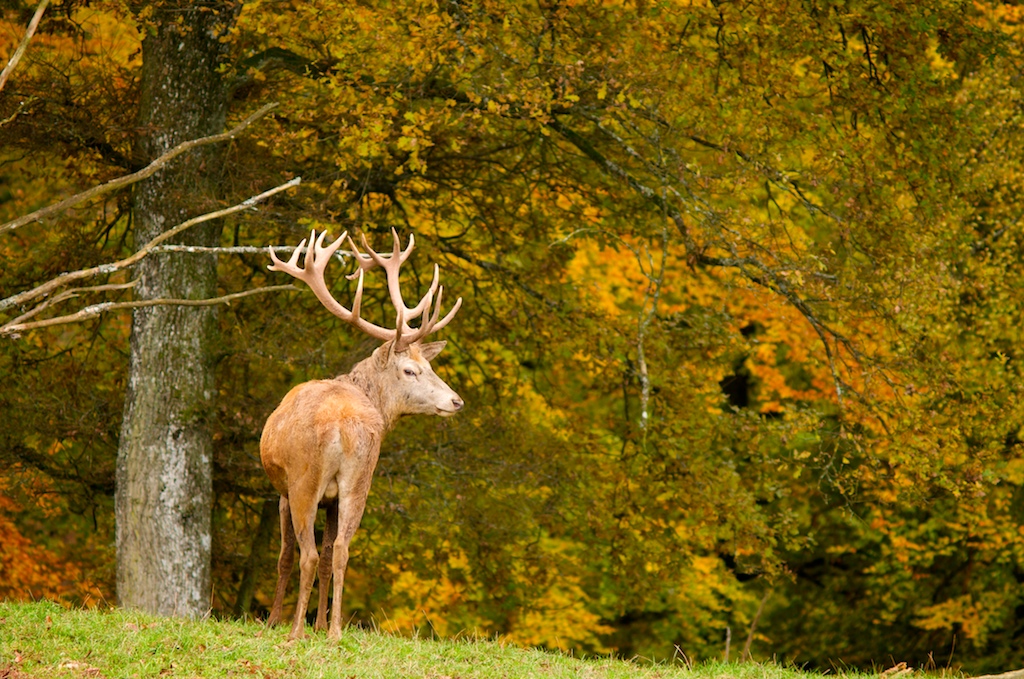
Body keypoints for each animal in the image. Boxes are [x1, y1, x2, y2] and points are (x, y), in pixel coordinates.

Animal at [260, 227, 463, 641]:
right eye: (411, 370)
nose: (456, 401)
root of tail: (343, 426)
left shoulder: (283, 490)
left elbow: (286, 556)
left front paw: (275, 621)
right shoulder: (334, 497)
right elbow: (328, 554)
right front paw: (322, 624)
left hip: (305, 481)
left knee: (308, 555)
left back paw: (294, 633)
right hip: (360, 480)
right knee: (339, 550)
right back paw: (335, 631)